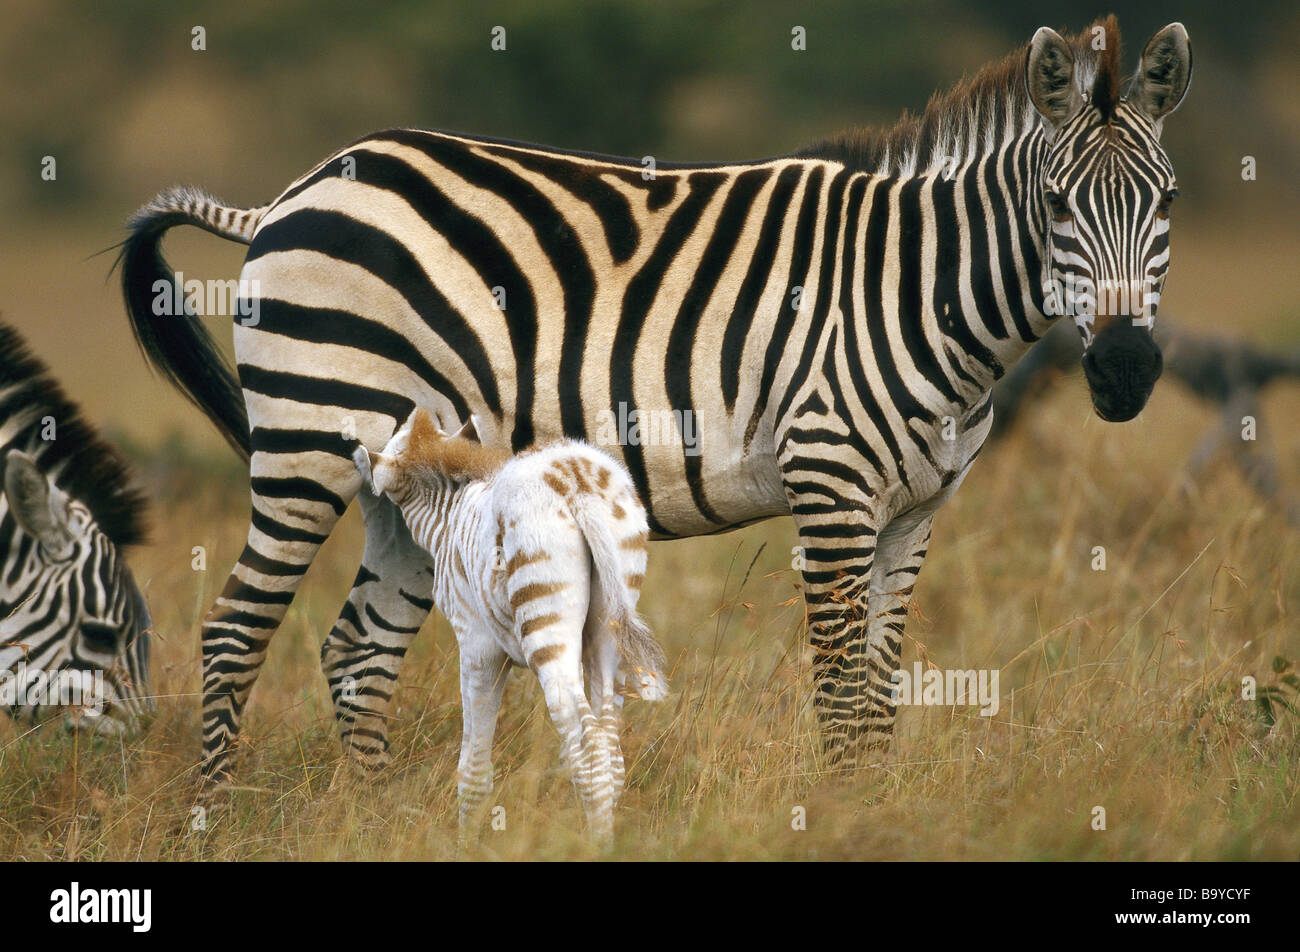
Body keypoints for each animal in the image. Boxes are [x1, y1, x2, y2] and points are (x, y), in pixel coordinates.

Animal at [118, 16, 1190, 785]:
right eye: (1056, 205)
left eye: (1169, 202)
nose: (1126, 370)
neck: (911, 288)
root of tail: (292, 192)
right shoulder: (831, 489)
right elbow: (842, 690)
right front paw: (848, 812)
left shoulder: (915, 512)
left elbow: (881, 692)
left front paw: (876, 807)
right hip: (303, 443)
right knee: (235, 631)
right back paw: (215, 815)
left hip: (404, 478)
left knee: (357, 652)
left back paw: (381, 820)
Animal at [353, 407, 667, 840]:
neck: (452, 509)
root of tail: (576, 484)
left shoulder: (477, 645)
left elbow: (473, 767)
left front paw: (465, 844)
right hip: (612, 624)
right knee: (609, 751)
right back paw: (603, 839)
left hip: (545, 622)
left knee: (587, 746)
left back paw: (595, 846)